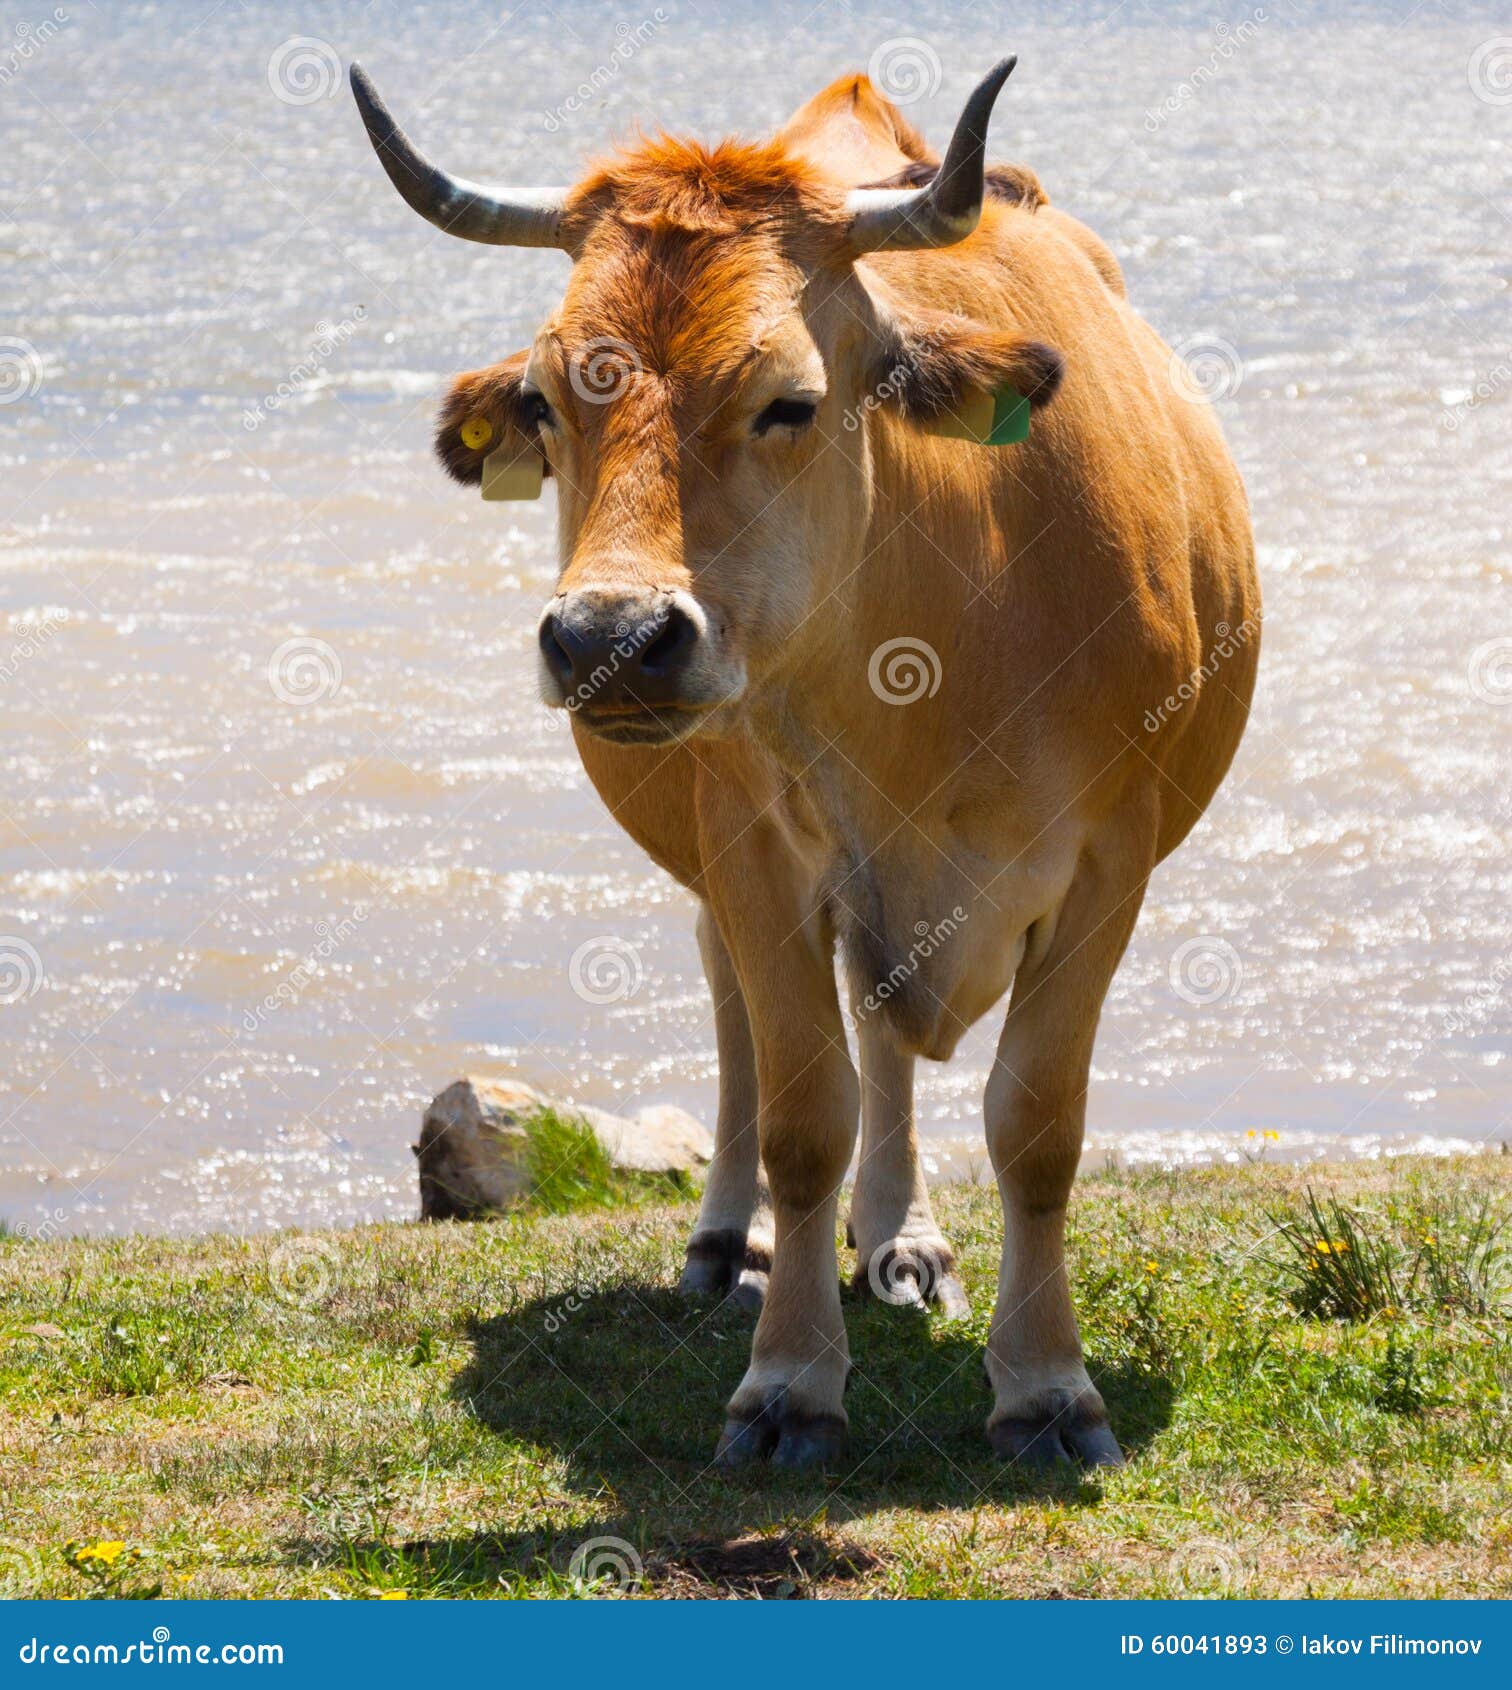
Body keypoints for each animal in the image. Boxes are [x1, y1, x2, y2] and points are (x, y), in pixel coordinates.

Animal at [351, 54, 1260, 1470]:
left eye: (789, 400)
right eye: (549, 403)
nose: (611, 639)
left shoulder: (1110, 864)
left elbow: (1035, 1126)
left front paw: (1048, 1389)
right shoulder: (756, 850)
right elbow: (800, 1113)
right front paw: (786, 1384)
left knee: (884, 1035)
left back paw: (903, 1238)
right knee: (745, 1011)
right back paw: (734, 1242)